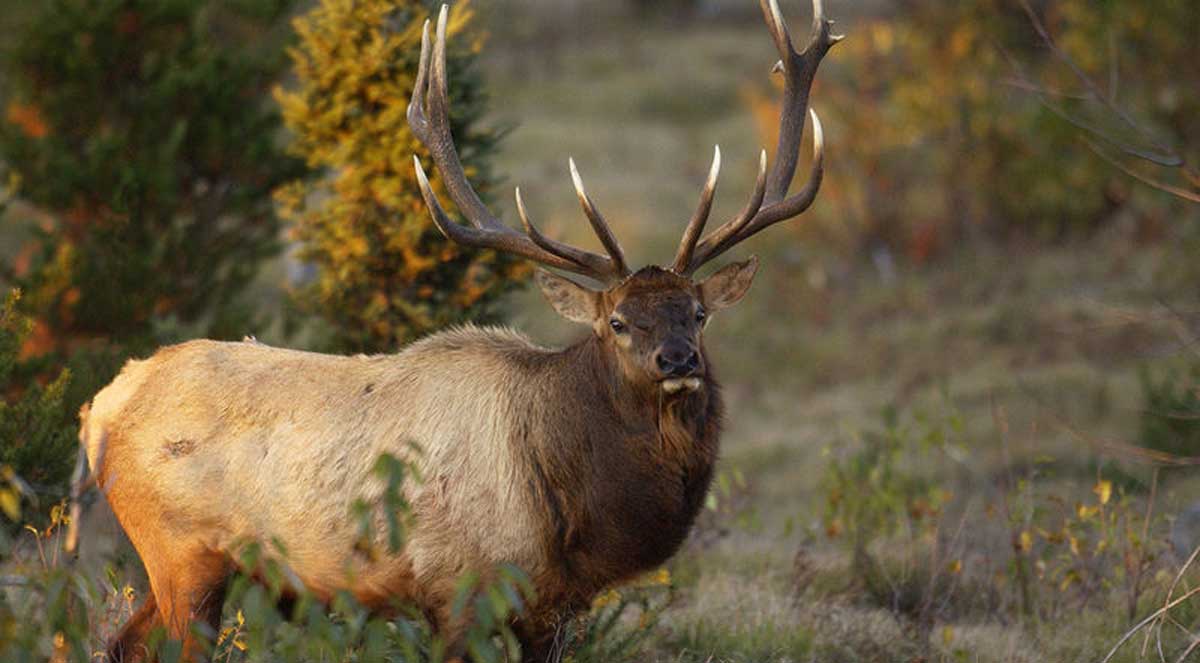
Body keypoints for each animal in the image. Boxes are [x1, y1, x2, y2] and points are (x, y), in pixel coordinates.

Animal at [78, 1, 840, 660]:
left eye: (699, 313)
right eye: (618, 321)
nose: (677, 358)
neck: (569, 508)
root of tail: (102, 407)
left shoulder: (554, 611)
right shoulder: (460, 589)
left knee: (121, 642)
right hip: (181, 552)